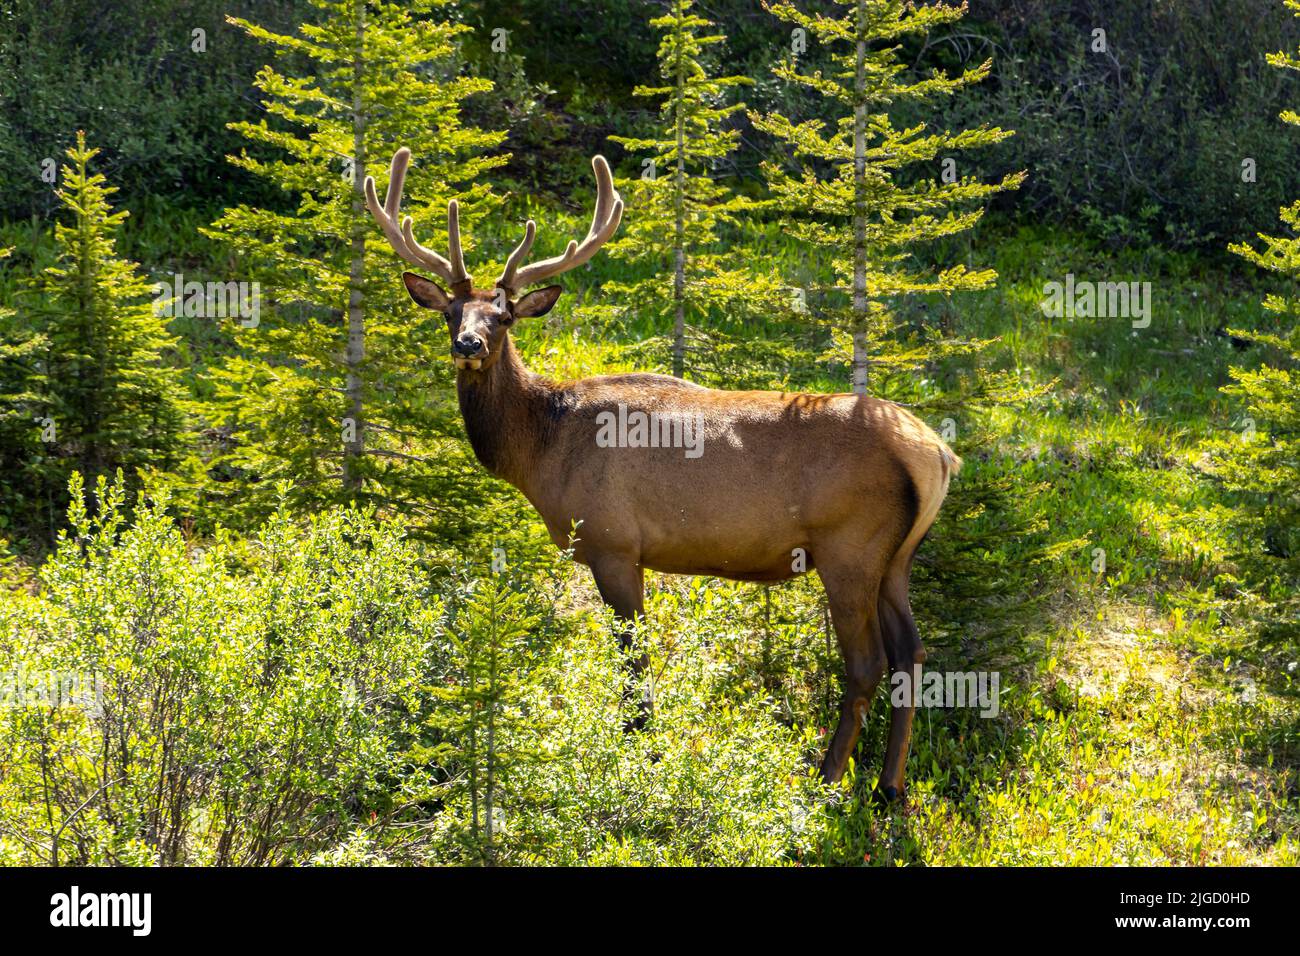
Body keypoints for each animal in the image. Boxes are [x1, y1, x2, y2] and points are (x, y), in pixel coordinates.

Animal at [365, 147, 961, 800]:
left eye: (504, 316)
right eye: (451, 312)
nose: (468, 344)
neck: (543, 447)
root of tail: (938, 453)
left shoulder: (612, 543)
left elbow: (633, 660)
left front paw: (639, 754)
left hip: (850, 545)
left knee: (868, 664)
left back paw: (826, 779)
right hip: (897, 556)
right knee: (912, 653)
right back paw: (888, 786)